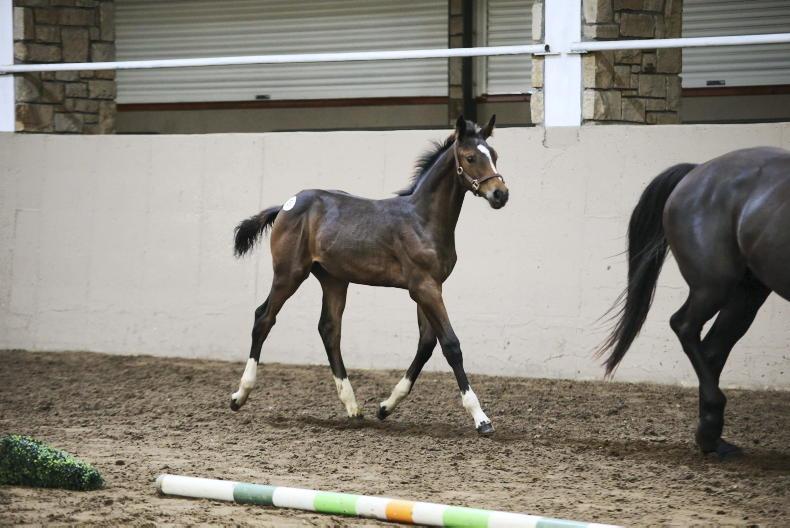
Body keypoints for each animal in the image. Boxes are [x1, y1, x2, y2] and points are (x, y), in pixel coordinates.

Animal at [229, 115, 509, 434]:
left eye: (494, 155)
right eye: (471, 157)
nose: (500, 194)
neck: (423, 219)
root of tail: (287, 204)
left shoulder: (430, 286)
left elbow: (426, 343)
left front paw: (386, 406)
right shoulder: (424, 287)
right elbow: (451, 345)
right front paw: (481, 418)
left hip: (334, 279)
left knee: (329, 329)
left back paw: (352, 407)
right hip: (289, 273)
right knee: (264, 317)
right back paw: (239, 395)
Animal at [598, 146, 790, 458]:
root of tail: (697, 172)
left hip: (748, 291)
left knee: (712, 347)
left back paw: (712, 439)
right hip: (714, 284)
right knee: (685, 326)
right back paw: (711, 427)